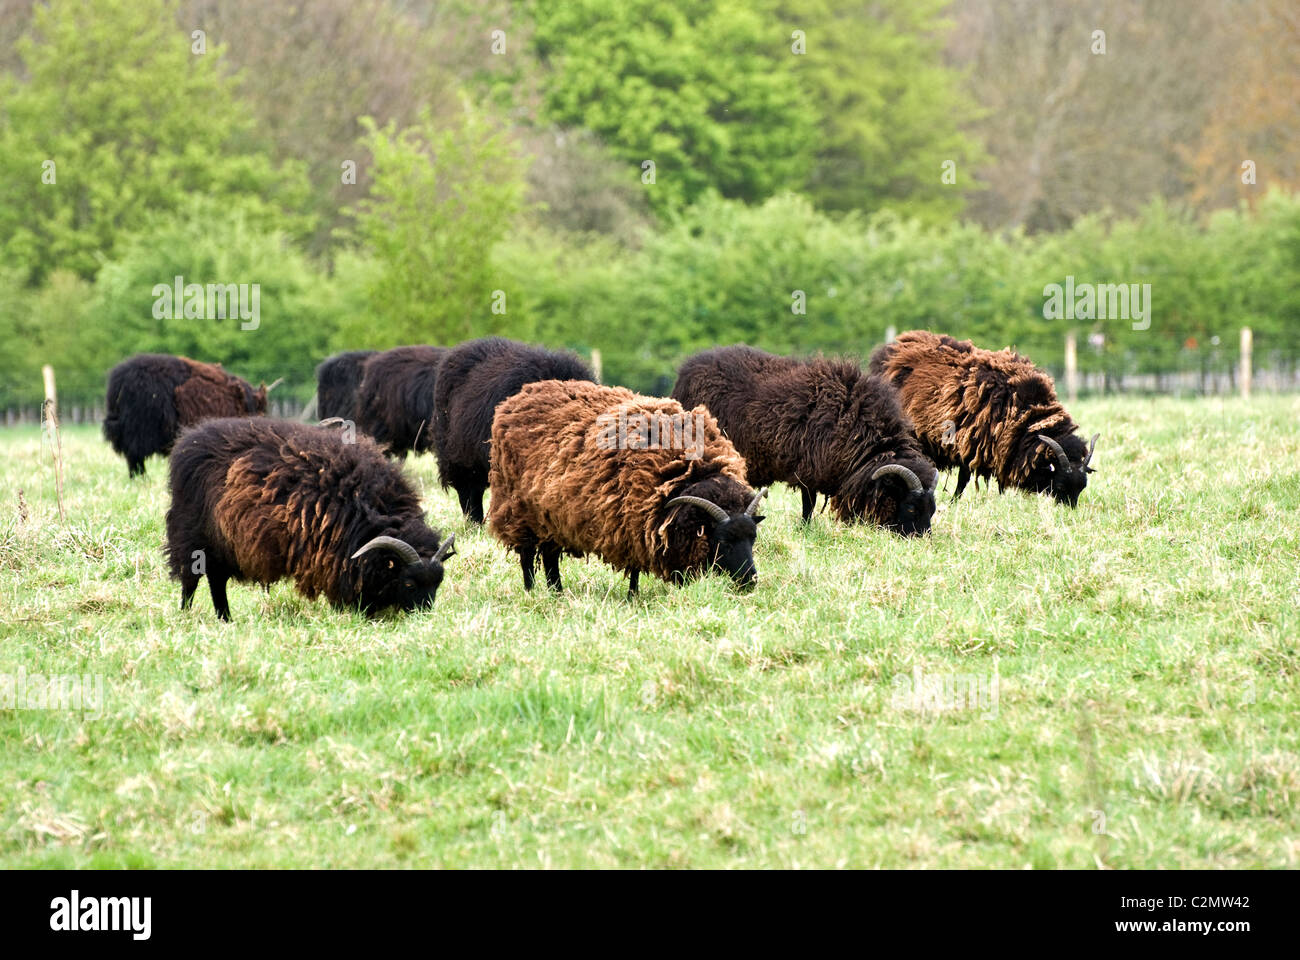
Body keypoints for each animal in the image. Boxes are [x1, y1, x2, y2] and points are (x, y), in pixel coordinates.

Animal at [165, 417, 455, 621]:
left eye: (438, 583)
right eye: (409, 583)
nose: (425, 619)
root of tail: (188, 442)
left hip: (223, 543)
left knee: (216, 579)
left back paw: (226, 620)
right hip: (191, 535)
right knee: (191, 579)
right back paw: (187, 615)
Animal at [488, 379, 767, 597]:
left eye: (753, 538)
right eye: (723, 542)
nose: (751, 581)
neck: (688, 478)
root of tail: (518, 397)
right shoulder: (631, 525)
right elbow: (634, 571)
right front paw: (633, 598)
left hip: (551, 515)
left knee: (549, 556)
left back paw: (556, 592)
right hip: (520, 511)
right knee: (527, 556)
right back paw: (531, 592)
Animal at [671, 345, 938, 535]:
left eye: (932, 509)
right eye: (910, 506)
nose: (922, 540)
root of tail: (686, 372)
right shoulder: (808, 470)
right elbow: (808, 504)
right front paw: (805, 529)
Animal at [869, 330, 1099, 506]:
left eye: (1082, 486)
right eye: (1059, 484)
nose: (1069, 511)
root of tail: (891, 349)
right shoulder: (968, 443)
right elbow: (963, 479)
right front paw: (954, 502)